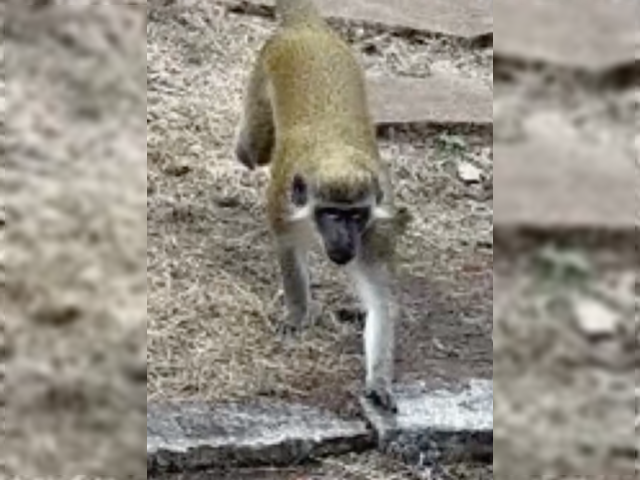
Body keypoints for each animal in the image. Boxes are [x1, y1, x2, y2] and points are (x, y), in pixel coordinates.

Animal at [234, 0, 408, 413]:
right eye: (331, 213)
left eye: (355, 216)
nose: (344, 241)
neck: (333, 154)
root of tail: (308, 27)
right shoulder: (282, 206)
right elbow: (287, 250)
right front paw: (298, 314)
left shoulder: (375, 232)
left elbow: (381, 302)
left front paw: (378, 380)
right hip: (264, 71)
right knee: (253, 148)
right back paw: (241, 149)